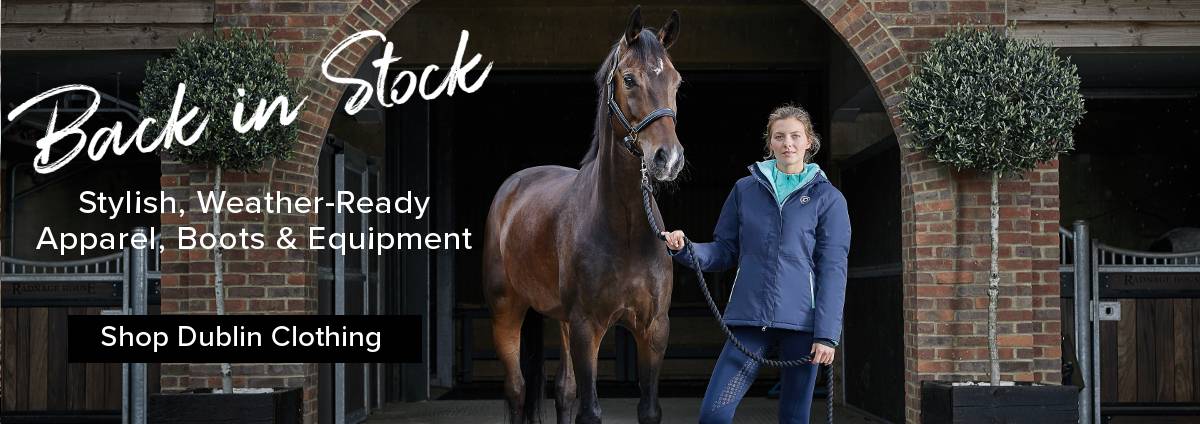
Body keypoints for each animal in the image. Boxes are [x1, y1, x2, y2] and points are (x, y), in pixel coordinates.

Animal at [482, 7, 684, 424]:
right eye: (629, 79)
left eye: (676, 80)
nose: (669, 159)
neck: (625, 228)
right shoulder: (586, 327)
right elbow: (589, 411)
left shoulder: (654, 330)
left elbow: (647, 409)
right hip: (507, 310)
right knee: (517, 389)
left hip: (560, 321)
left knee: (563, 390)